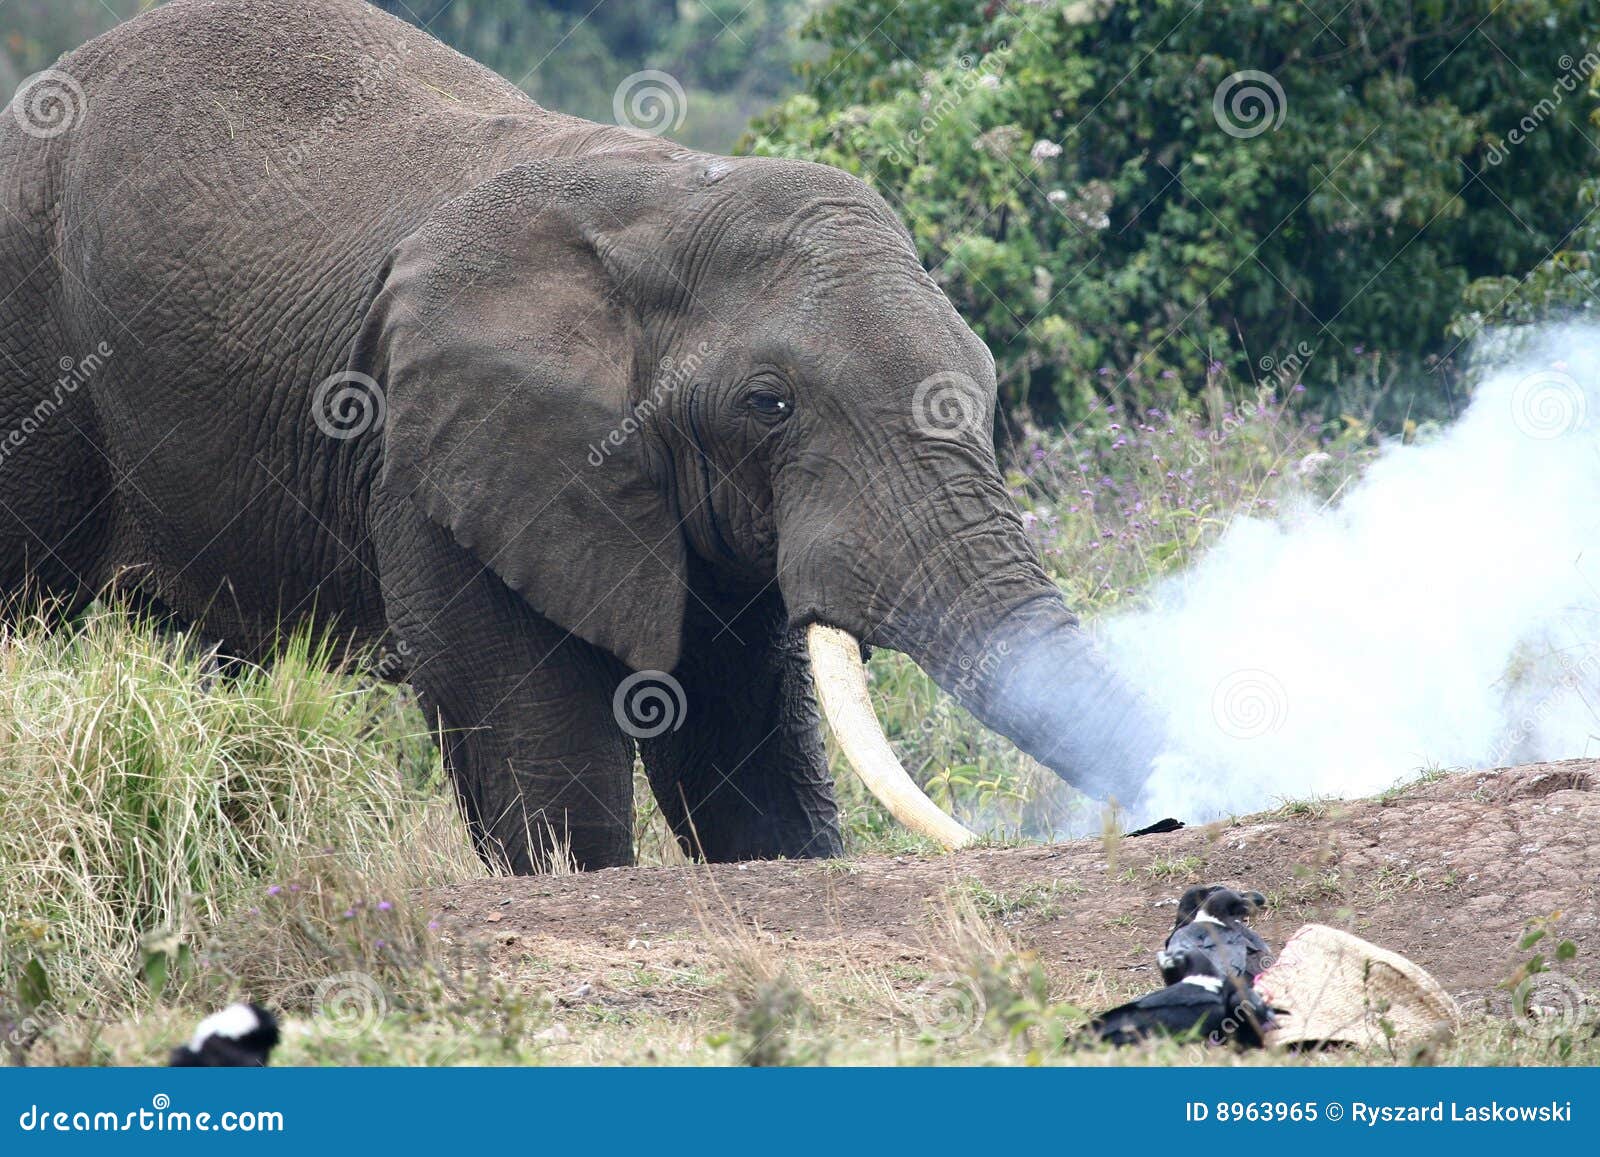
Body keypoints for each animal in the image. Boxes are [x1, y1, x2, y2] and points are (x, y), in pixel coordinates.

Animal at [0, 0, 1166, 872]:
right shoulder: (436, 453)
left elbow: (742, 746)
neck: (672, 197)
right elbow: (542, 753)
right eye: (770, 404)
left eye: (985, 380)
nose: (1161, 822)